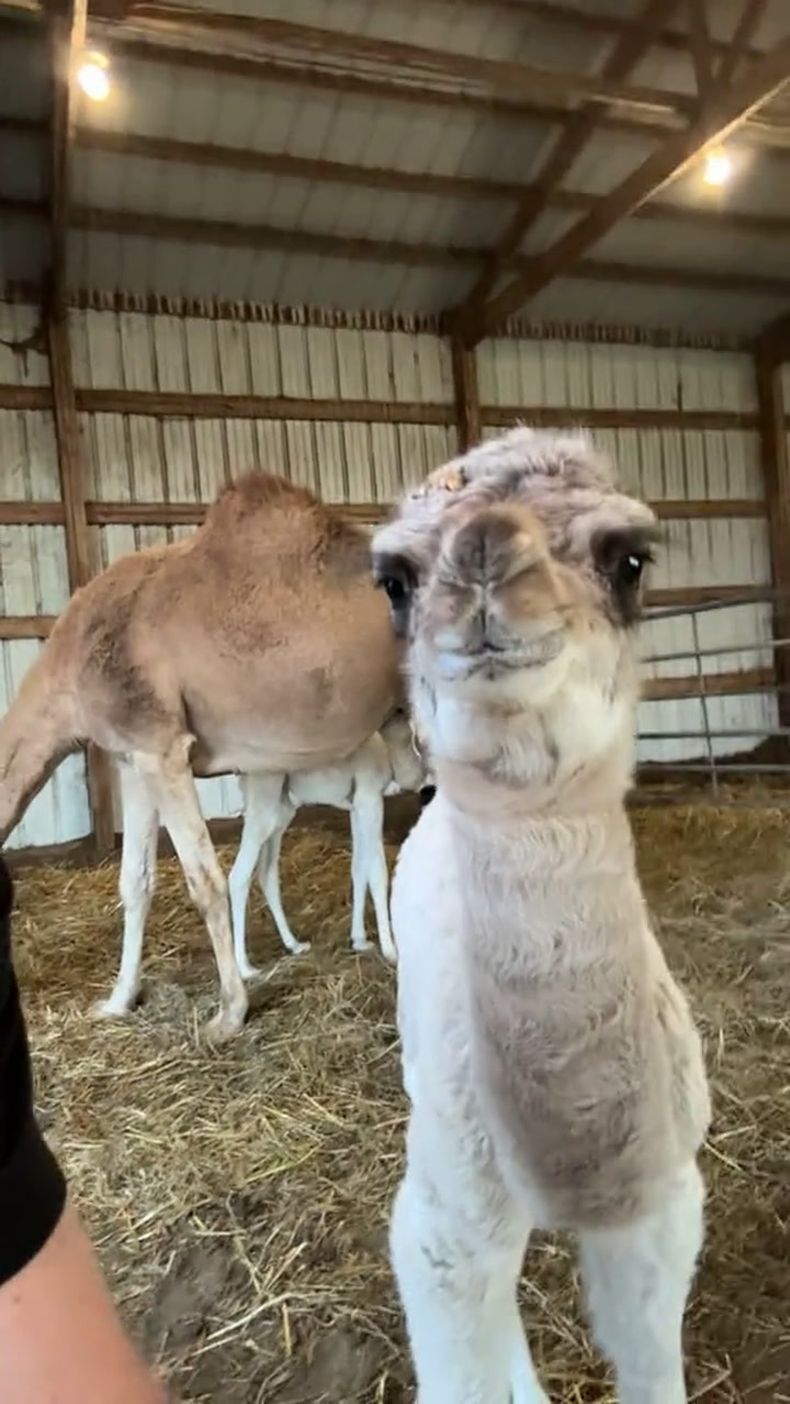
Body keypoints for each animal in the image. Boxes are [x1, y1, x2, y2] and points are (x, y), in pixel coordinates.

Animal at [0, 473, 403, 1040]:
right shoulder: (132, 757)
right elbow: (135, 881)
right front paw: (117, 1002)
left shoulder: (163, 747)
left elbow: (204, 881)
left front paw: (228, 1015)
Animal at [372, 428, 711, 1404]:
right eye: (393, 581)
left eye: (629, 558)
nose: (486, 551)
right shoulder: (442, 1229)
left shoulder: (666, 1204)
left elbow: (651, 1357)